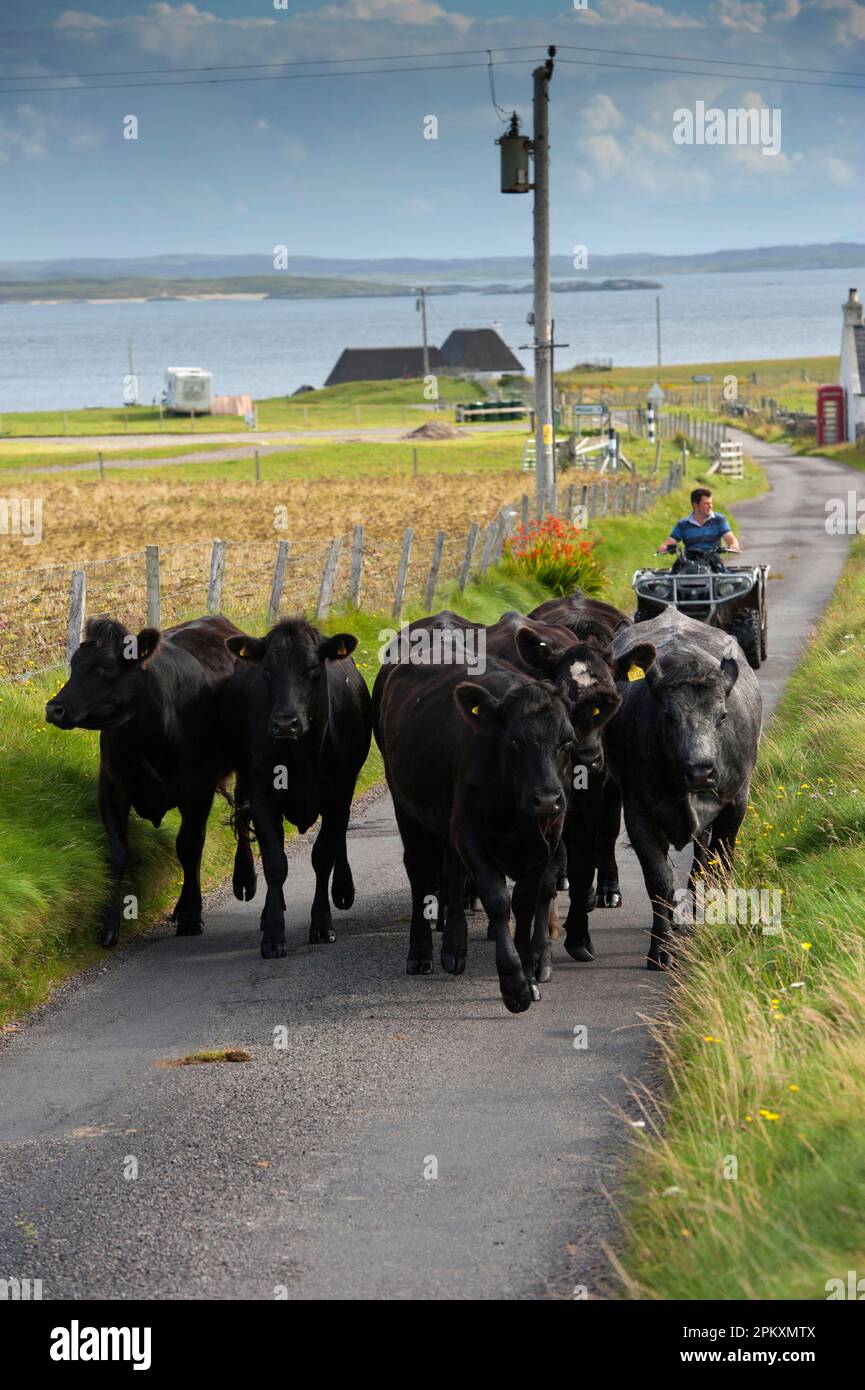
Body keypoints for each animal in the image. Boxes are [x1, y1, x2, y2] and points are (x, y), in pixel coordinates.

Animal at [45, 614, 242, 948]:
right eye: (74, 663)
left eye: (106, 666)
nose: (54, 708)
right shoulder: (112, 789)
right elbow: (117, 853)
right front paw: (109, 927)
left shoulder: (198, 792)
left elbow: (189, 847)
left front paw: (191, 915)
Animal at [221, 618, 372, 959]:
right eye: (267, 671)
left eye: (313, 669)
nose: (284, 722)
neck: (303, 754)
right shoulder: (263, 795)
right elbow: (275, 863)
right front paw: (274, 934)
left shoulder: (340, 793)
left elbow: (323, 855)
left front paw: (322, 923)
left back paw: (343, 889)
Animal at [376, 651, 574, 1013]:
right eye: (514, 740)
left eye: (568, 740)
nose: (547, 799)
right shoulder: (469, 831)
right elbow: (497, 899)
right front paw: (513, 986)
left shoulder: (548, 838)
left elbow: (525, 901)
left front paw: (529, 976)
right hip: (405, 806)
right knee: (418, 871)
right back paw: (421, 953)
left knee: (452, 871)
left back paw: (454, 947)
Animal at [604, 607, 762, 970]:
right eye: (669, 717)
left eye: (722, 716)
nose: (701, 771)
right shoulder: (638, 813)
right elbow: (659, 881)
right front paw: (661, 950)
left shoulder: (735, 805)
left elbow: (720, 868)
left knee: (701, 864)